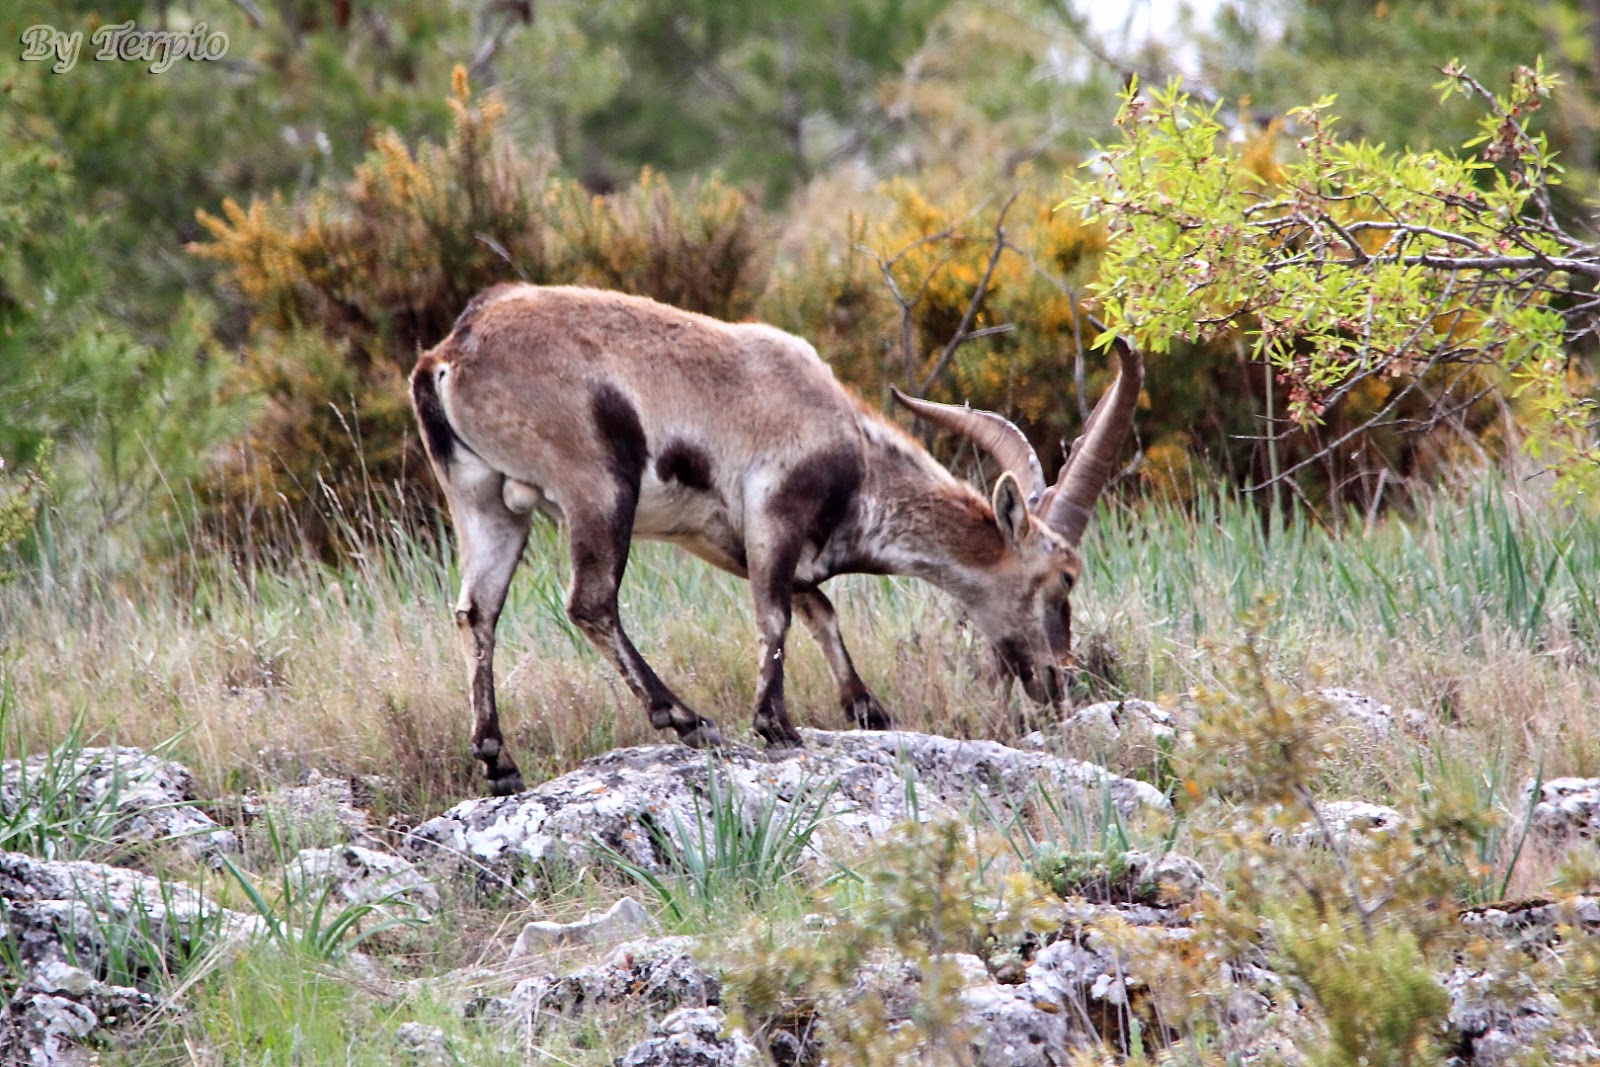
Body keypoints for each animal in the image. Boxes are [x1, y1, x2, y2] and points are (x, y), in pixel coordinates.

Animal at [411, 284, 1141, 795]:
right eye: (1064, 575)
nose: (1058, 681)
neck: (851, 447)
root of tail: (450, 353)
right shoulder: (776, 510)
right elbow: (777, 614)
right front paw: (776, 723)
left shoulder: (726, 540)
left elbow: (818, 608)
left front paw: (868, 708)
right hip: (596, 485)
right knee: (590, 601)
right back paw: (685, 718)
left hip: (483, 498)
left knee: (477, 611)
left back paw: (498, 761)